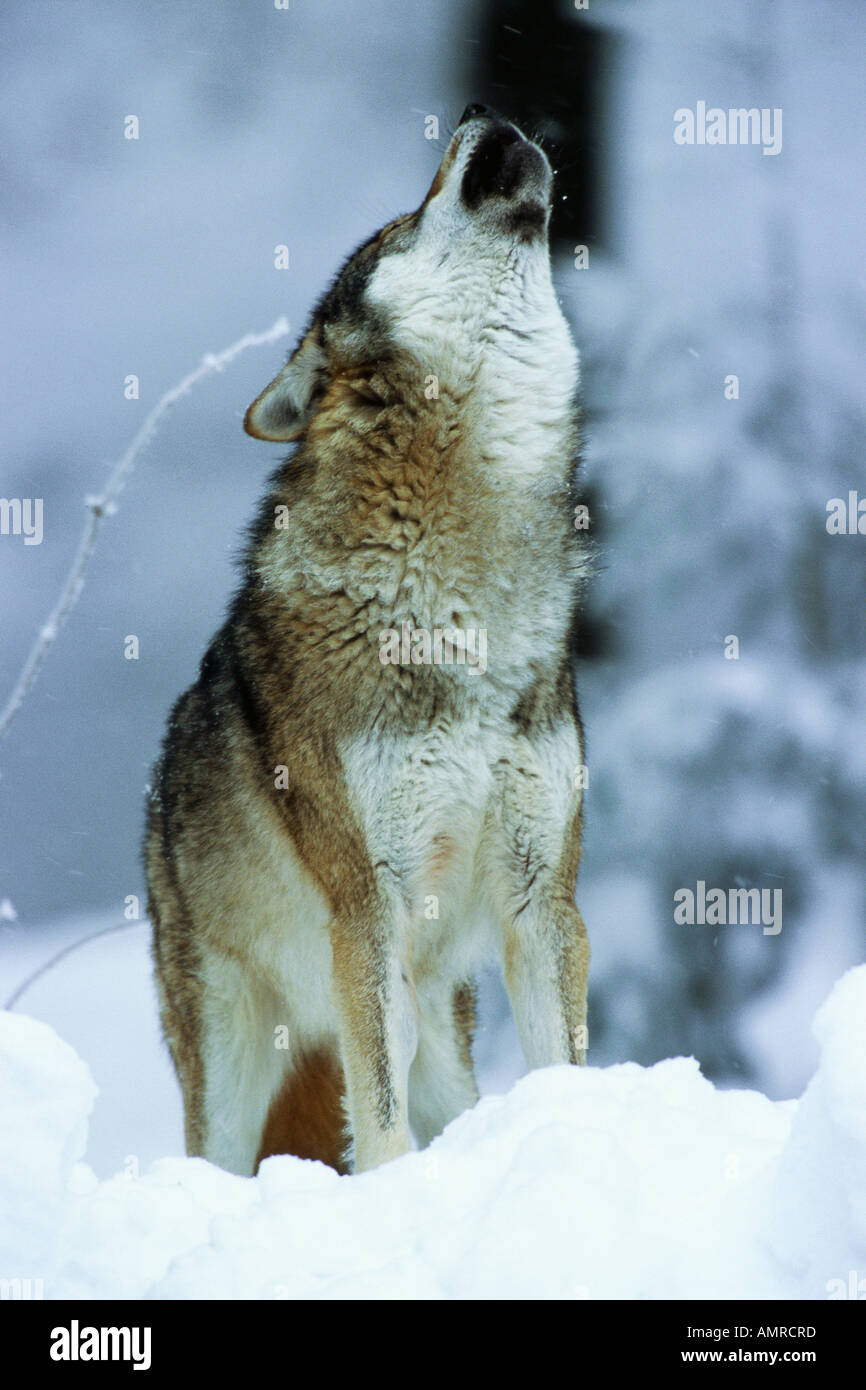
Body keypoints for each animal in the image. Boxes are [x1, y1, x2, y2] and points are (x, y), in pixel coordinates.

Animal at [146, 105, 591, 1176]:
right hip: (231, 1073)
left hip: (444, 1042)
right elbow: (379, 1128)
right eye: (402, 226)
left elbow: (563, 1067)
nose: (479, 110)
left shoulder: (543, 897)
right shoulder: (369, 910)